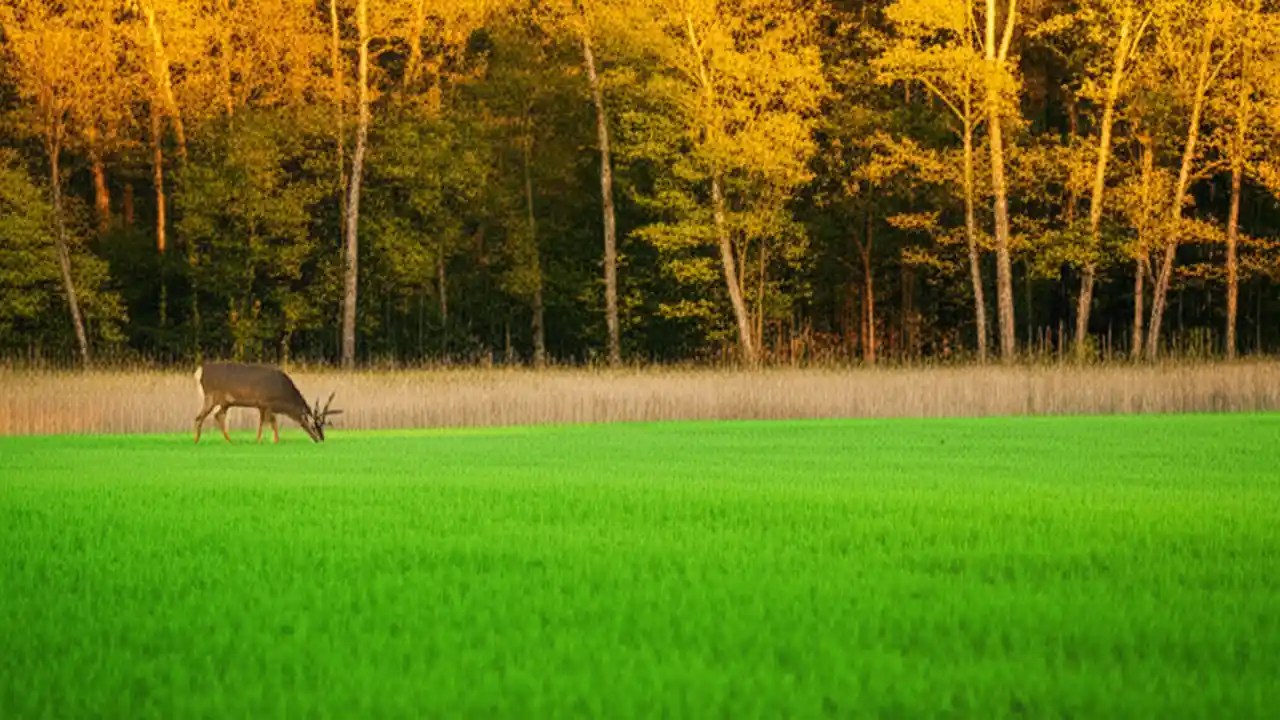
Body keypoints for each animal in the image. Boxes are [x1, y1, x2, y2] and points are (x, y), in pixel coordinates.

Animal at [193, 362, 342, 444]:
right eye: (313, 426)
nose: (320, 439)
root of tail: (200, 370)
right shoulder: (266, 402)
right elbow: (269, 422)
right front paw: (267, 441)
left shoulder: (263, 406)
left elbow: (268, 423)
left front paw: (267, 440)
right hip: (211, 396)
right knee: (199, 417)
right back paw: (196, 441)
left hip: (226, 403)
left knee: (217, 416)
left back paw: (230, 441)